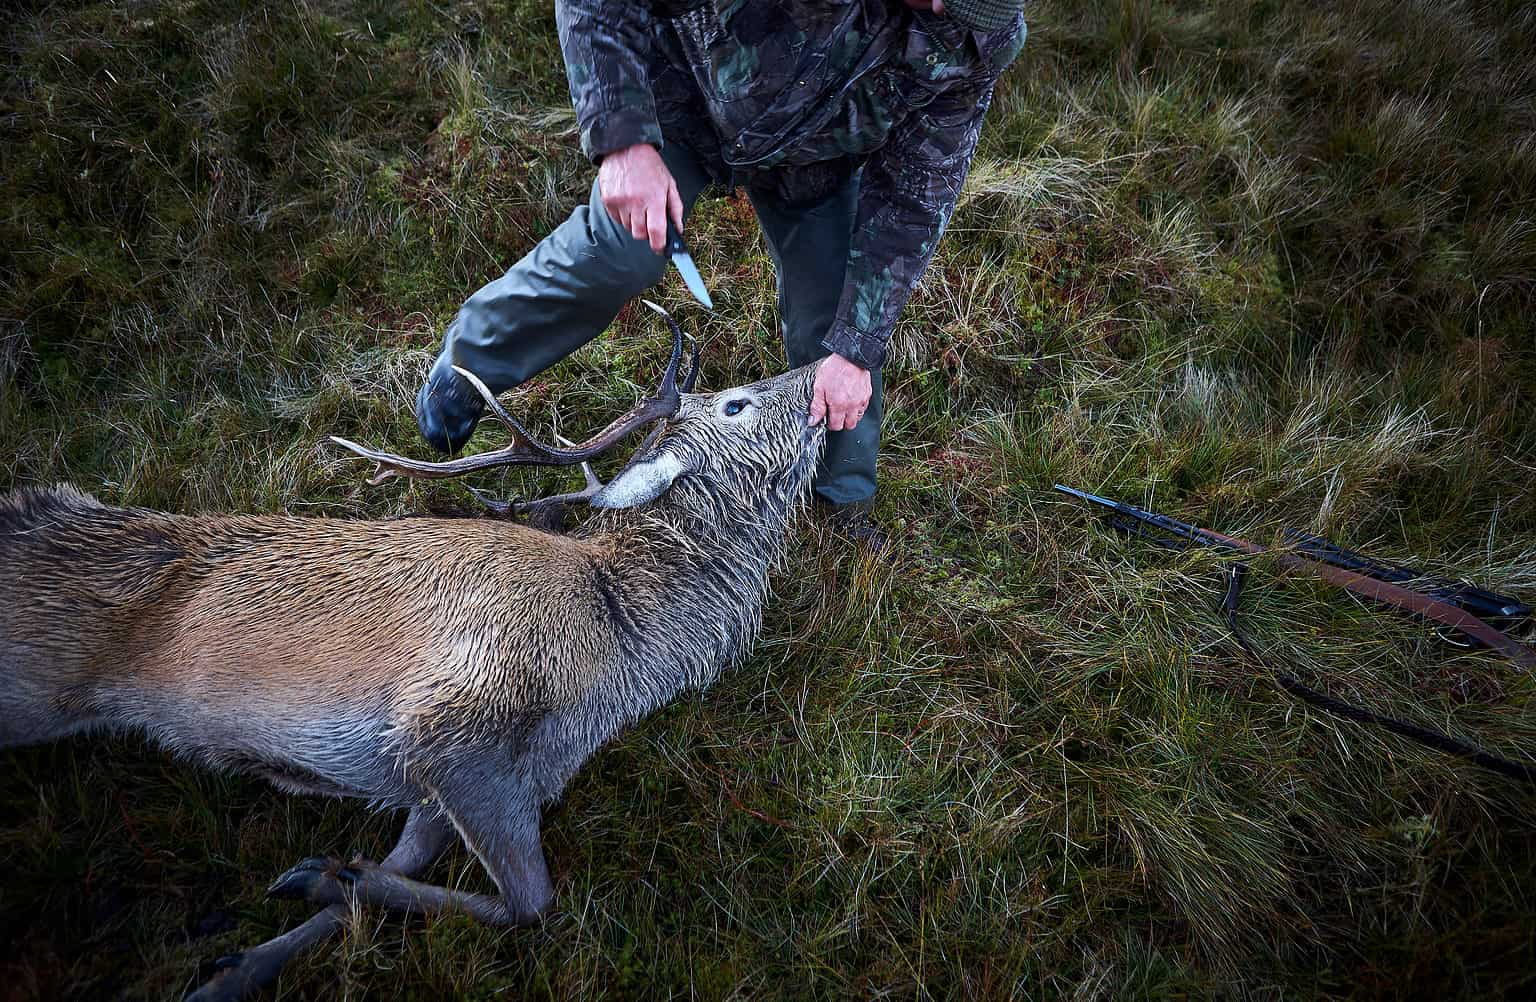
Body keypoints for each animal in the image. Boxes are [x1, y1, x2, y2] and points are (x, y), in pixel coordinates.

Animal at [0, 303, 828, 1001]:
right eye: (737, 402)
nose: (825, 364)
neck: (622, 646)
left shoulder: (446, 784)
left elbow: (395, 871)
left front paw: (256, 949)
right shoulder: (451, 721)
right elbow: (531, 904)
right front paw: (317, 879)